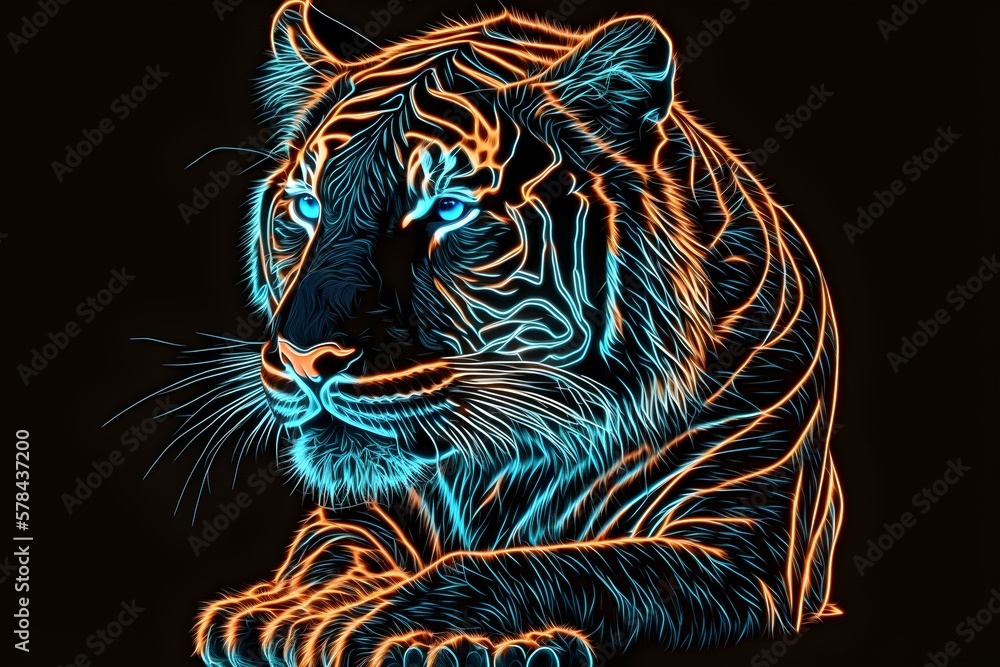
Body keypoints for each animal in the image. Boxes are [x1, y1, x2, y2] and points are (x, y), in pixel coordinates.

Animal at [192, 2, 844, 666]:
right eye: (307, 206)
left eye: (449, 210)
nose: (306, 358)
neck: (500, 471)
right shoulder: (358, 514)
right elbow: (328, 553)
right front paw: (289, 610)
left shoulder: (737, 548)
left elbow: (535, 568)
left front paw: (391, 631)